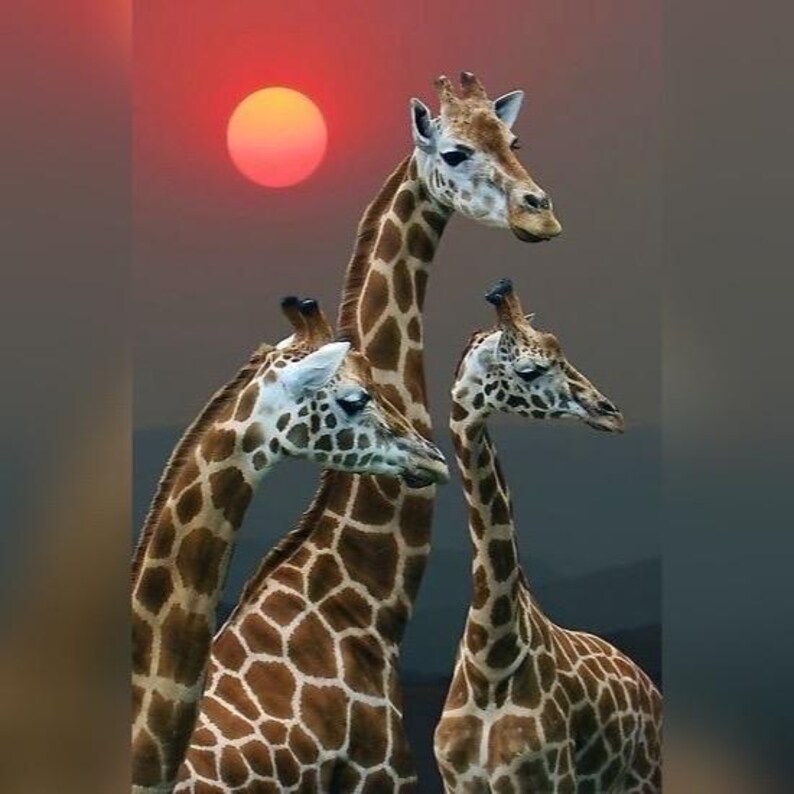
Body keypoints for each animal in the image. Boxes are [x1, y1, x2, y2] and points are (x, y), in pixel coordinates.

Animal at [434, 279, 662, 793]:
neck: (491, 658)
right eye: (530, 368)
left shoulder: (548, 776)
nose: (610, 413)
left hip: (642, 776)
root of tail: (647, 682)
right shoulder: (457, 781)